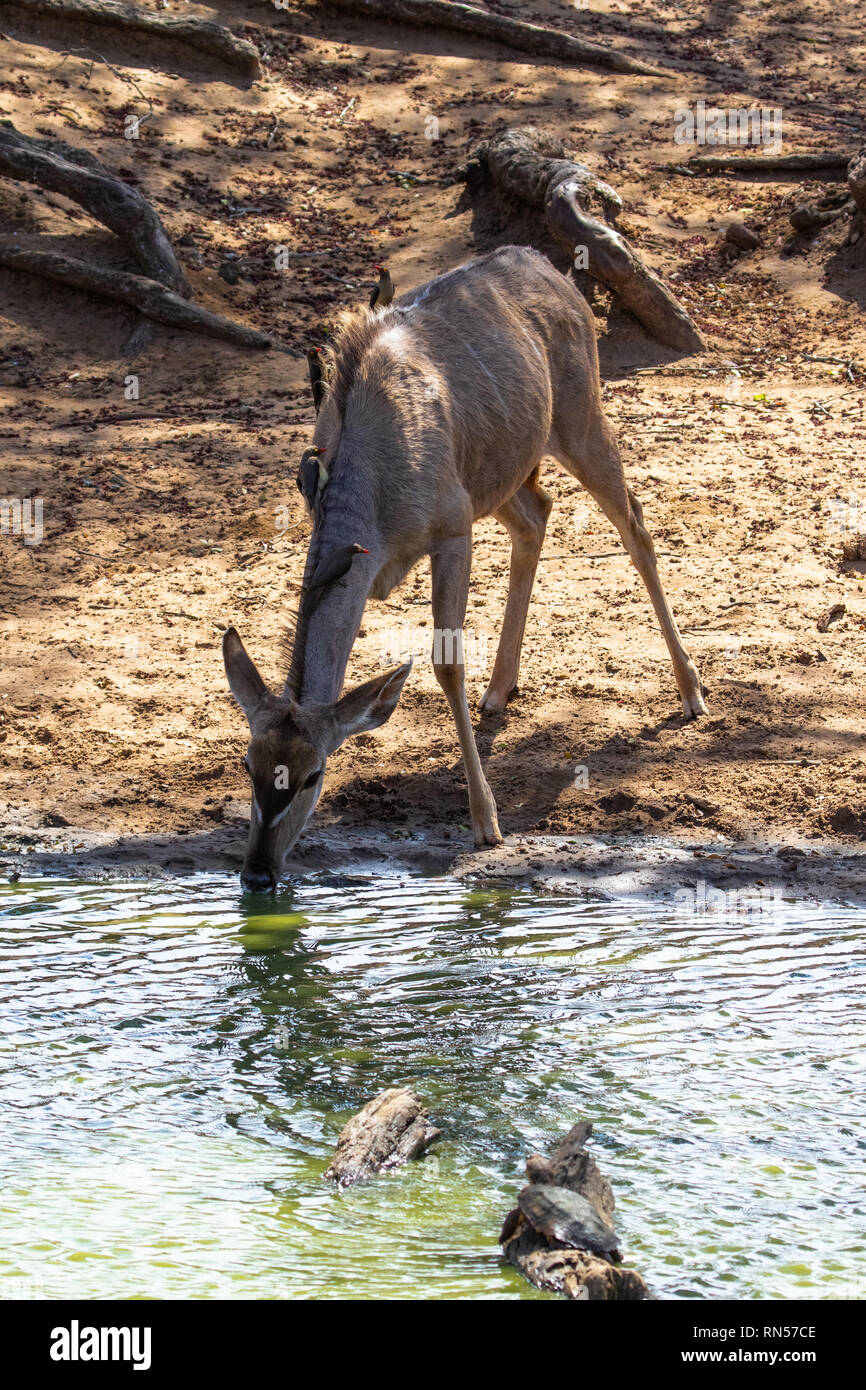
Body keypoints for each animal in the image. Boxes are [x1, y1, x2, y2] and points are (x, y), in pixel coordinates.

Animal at [223, 246, 706, 891]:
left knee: (635, 524)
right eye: (248, 764)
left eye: (312, 775)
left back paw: (692, 694)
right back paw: (499, 692)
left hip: (579, 426)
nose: (256, 875)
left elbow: (446, 665)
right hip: (501, 476)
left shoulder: (452, 532)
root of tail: (550, 270)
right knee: (537, 515)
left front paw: (485, 822)